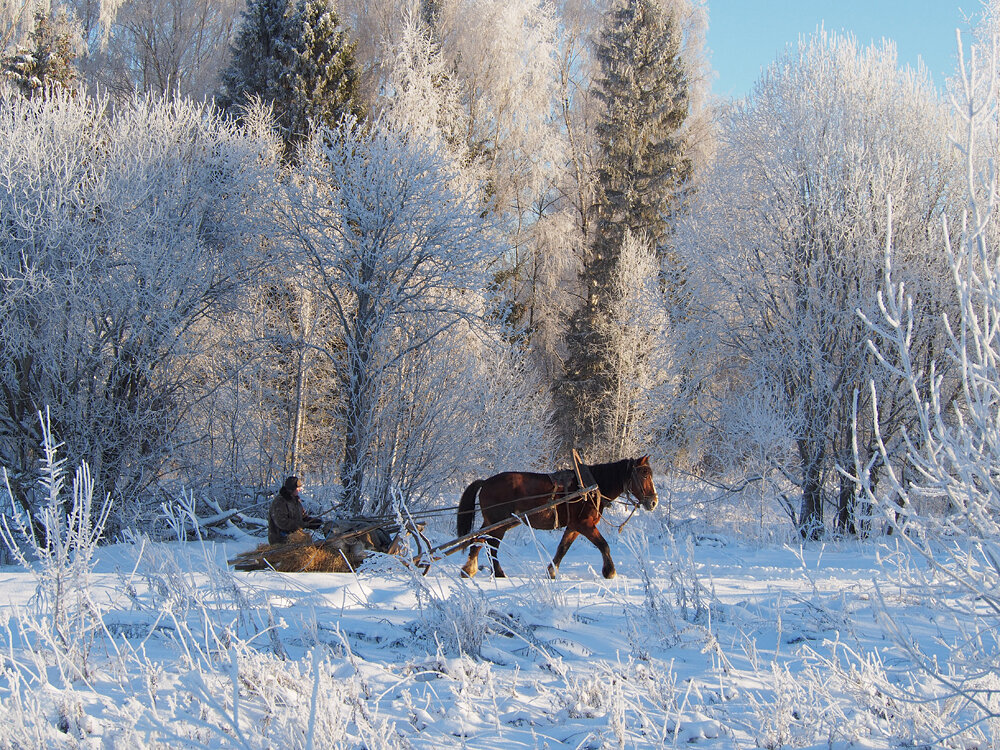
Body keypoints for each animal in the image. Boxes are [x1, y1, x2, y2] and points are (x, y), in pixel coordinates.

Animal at [458, 452, 660, 580]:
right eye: (644, 474)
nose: (653, 502)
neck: (591, 487)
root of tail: (486, 482)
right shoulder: (585, 524)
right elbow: (604, 545)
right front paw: (609, 572)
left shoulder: (574, 526)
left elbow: (562, 549)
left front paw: (551, 572)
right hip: (499, 523)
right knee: (490, 545)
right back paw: (496, 572)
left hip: (494, 522)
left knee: (478, 540)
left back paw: (469, 569)